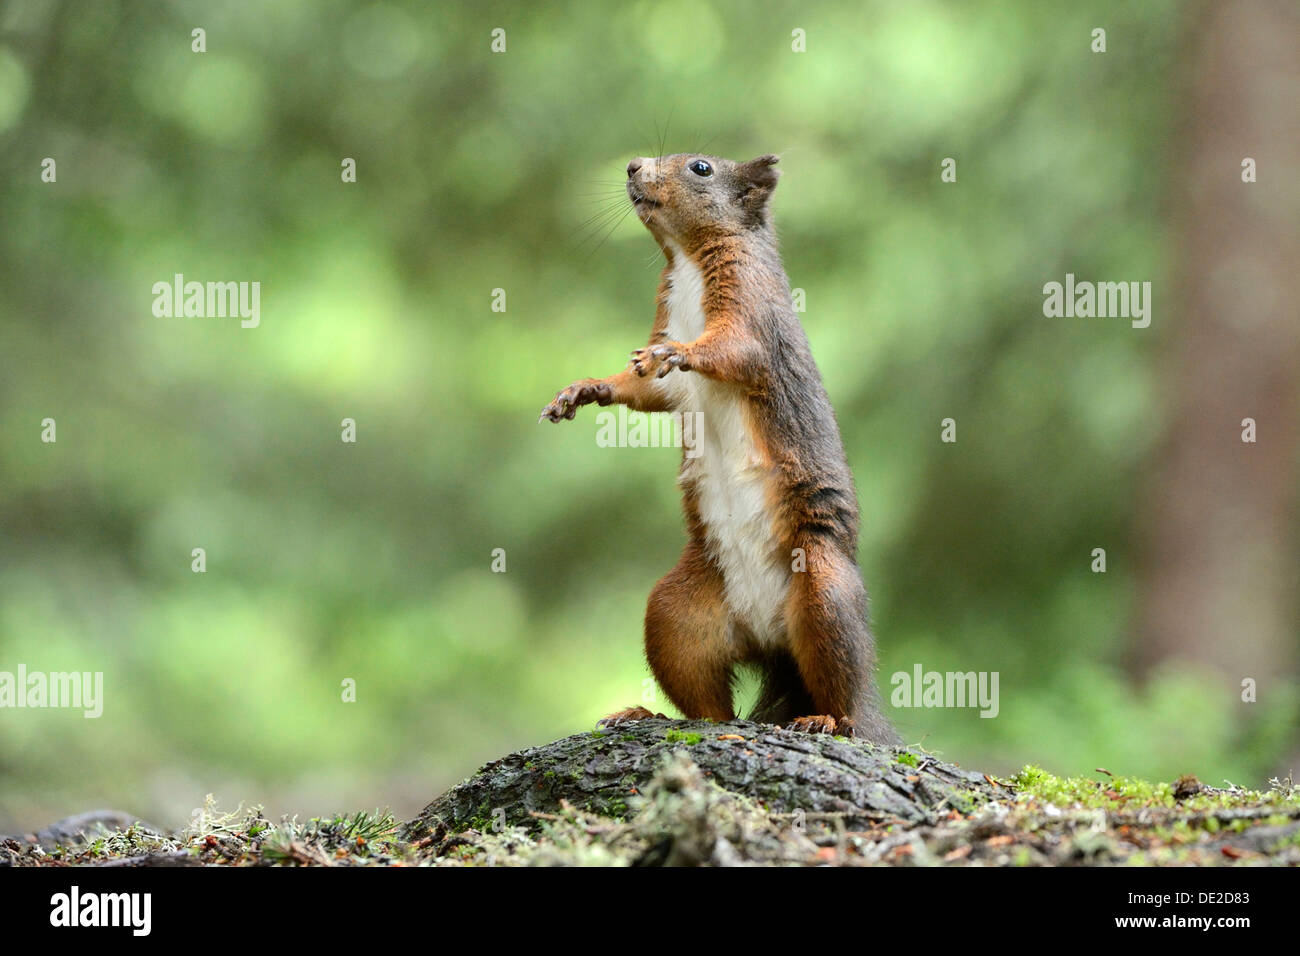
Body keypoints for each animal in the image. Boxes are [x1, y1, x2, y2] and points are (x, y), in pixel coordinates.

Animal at [540, 152, 897, 745]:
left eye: (701, 167)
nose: (634, 165)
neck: (686, 260)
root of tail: (767, 637)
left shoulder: (751, 306)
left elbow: (734, 349)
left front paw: (679, 351)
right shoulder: (667, 365)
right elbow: (645, 390)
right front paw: (585, 389)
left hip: (822, 586)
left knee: (841, 691)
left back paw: (825, 717)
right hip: (676, 616)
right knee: (711, 708)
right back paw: (651, 715)